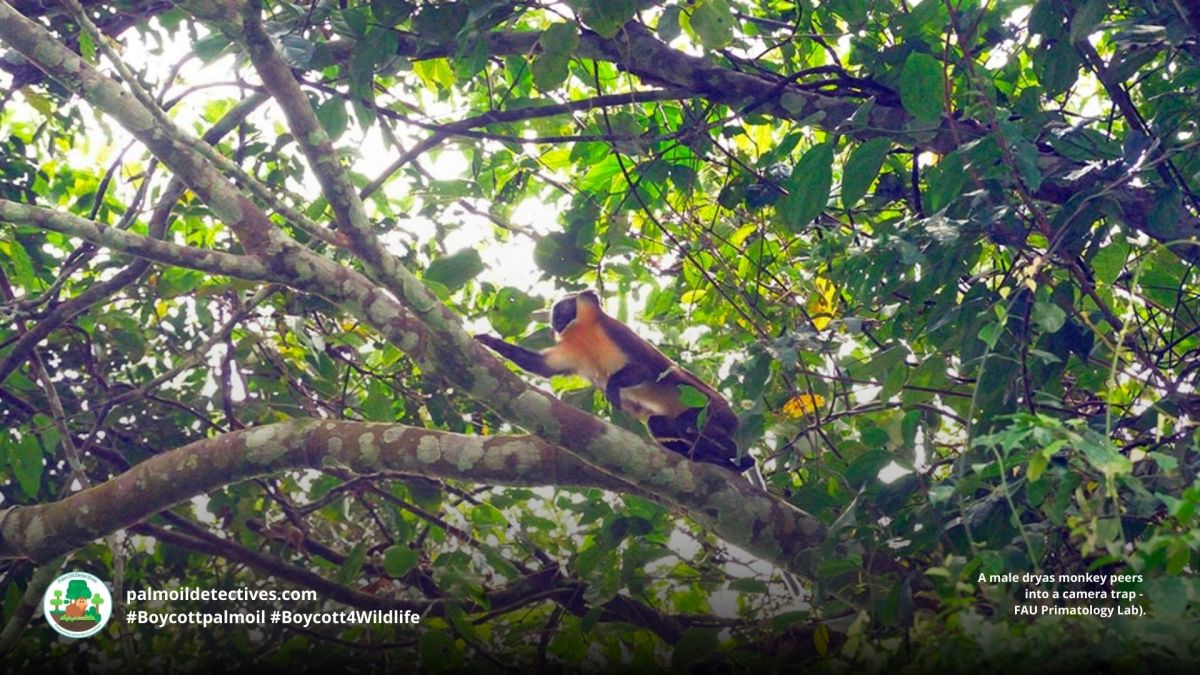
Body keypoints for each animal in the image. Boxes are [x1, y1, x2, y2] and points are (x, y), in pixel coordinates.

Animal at [475, 290, 754, 473]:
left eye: (562, 309)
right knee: (658, 423)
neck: (585, 333)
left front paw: (612, 388)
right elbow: (541, 367)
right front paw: (491, 342)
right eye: (555, 314)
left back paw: (743, 461)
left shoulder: (616, 333)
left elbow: (646, 370)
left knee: (688, 425)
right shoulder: (573, 352)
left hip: (715, 411)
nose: (555, 321)